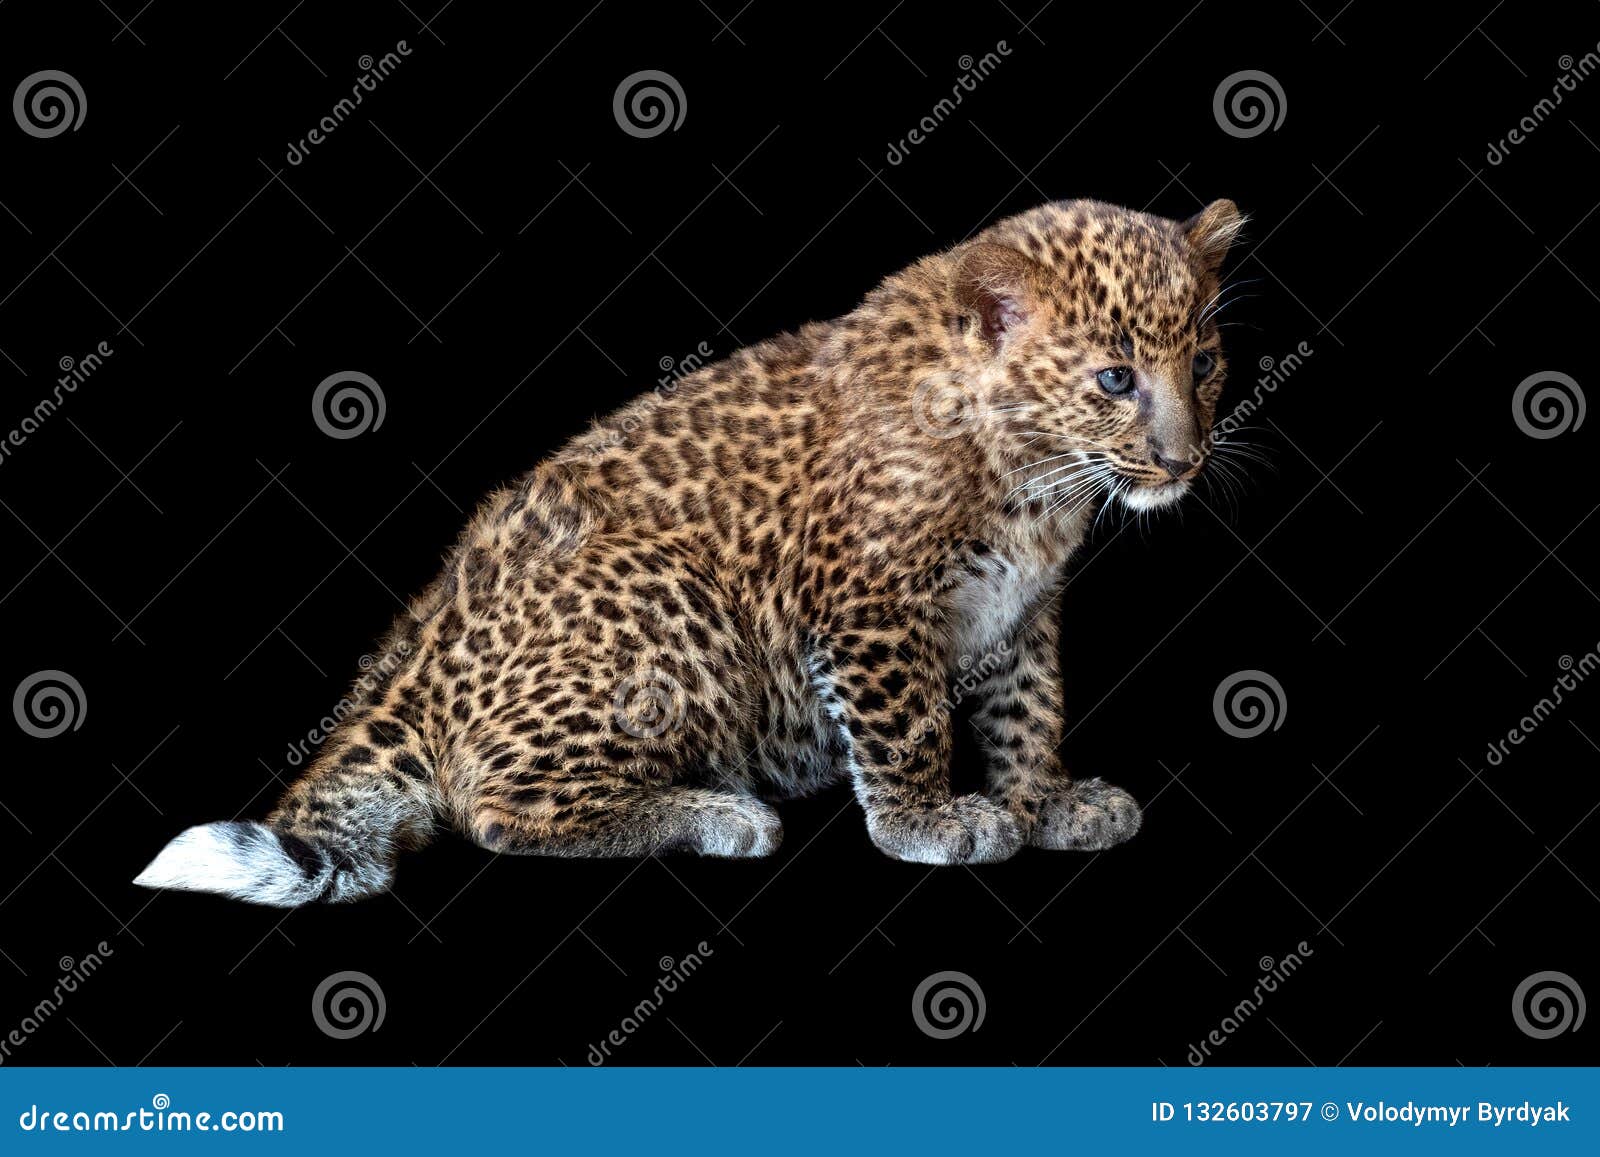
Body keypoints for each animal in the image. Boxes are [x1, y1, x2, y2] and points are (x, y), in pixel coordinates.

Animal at [134, 197, 1245, 906]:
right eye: (1113, 379)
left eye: (1202, 363)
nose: (1183, 457)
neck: (1032, 479)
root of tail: (410, 664)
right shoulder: (867, 603)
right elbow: (906, 726)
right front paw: (931, 823)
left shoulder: (1020, 607)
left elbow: (1028, 709)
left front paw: (1044, 799)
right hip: (672, 593)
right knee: (493, 806)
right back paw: (719, 815)